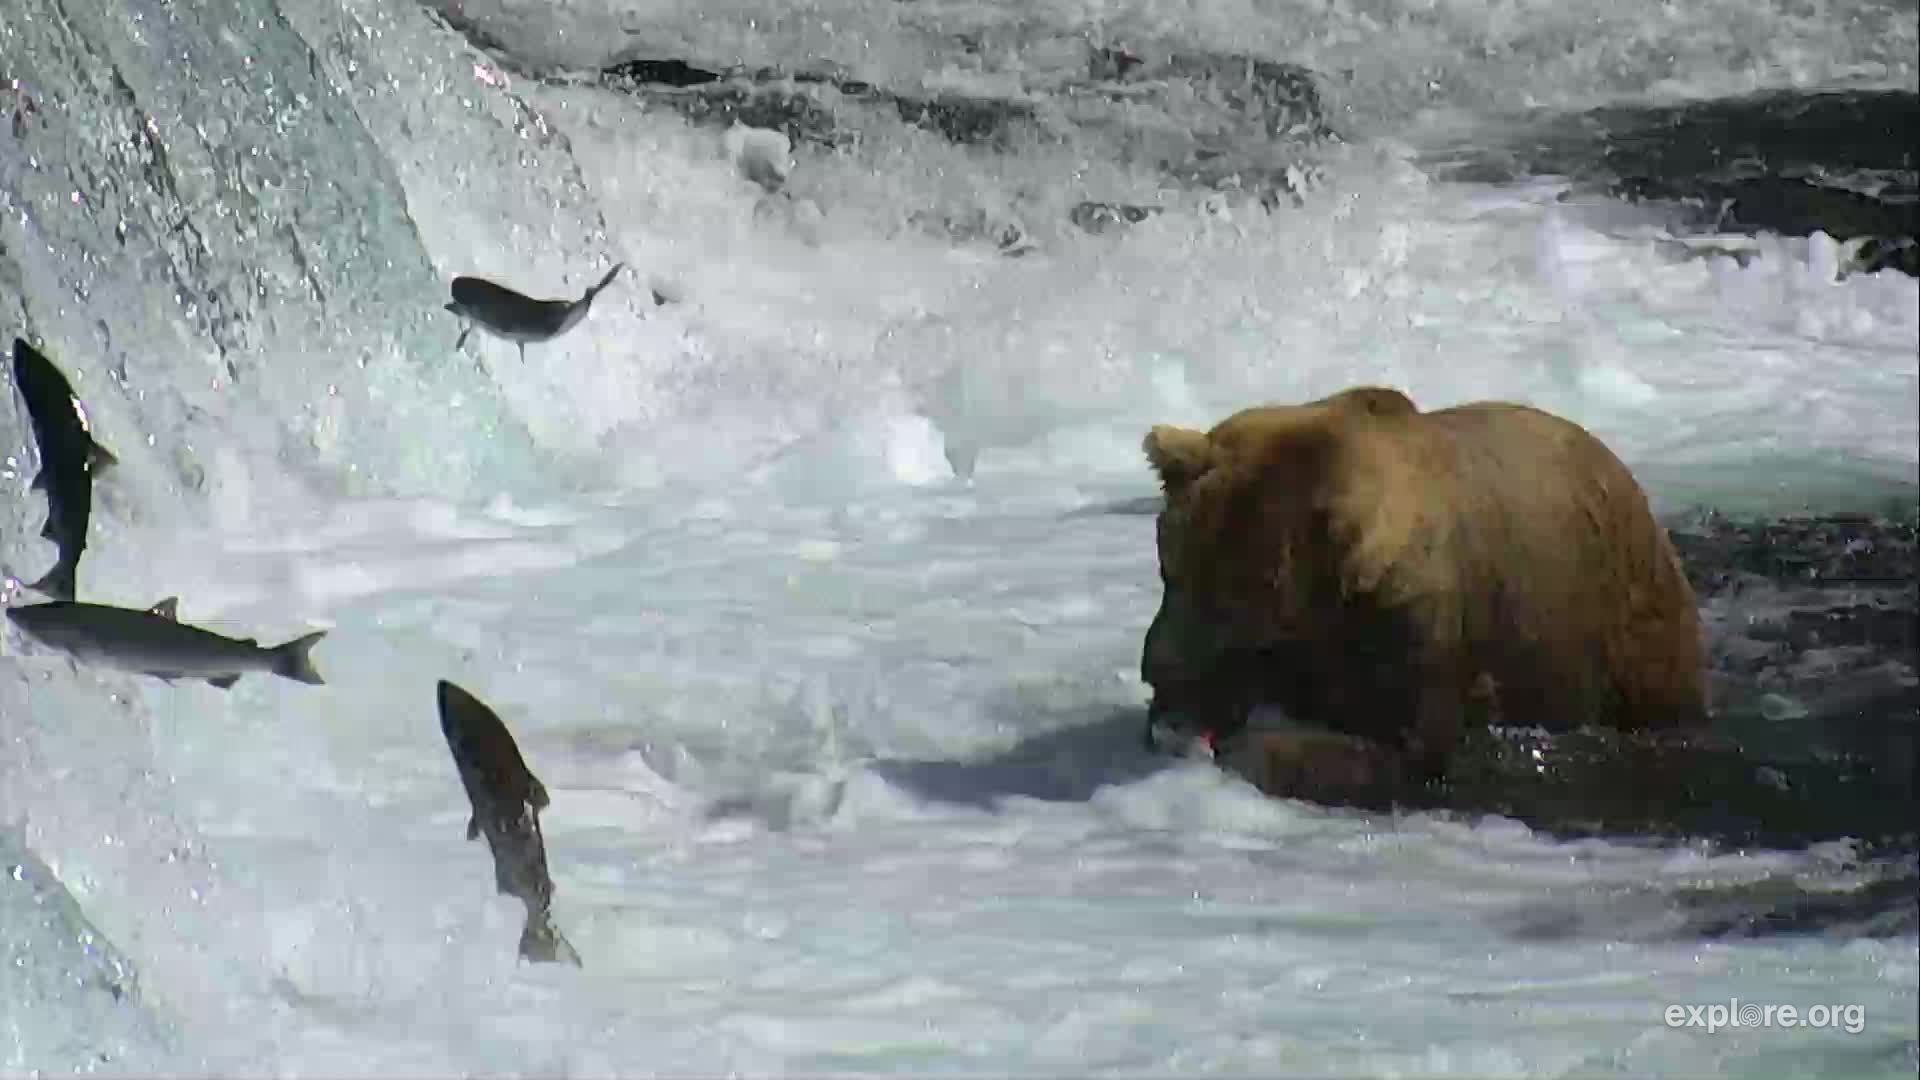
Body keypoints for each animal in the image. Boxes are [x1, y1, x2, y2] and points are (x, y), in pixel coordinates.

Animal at [1139, 385, 1708, 807]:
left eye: (1238, 598)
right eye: (1171, 568)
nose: (1156, 670)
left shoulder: (1415, 626)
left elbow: (1406, 738)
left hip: (1617, 622)